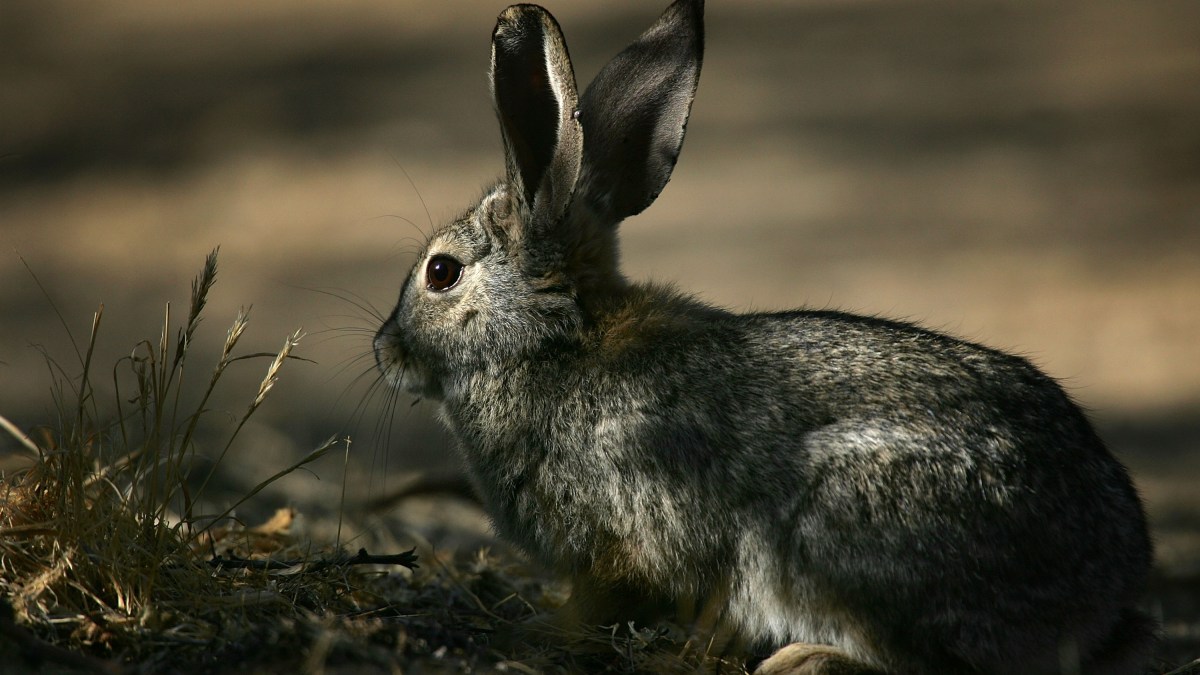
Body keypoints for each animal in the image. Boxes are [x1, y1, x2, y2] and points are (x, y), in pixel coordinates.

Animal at [372, 1, 1156, 673]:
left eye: (440, 272)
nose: (385, 350)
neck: (552, 339)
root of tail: (1104, 596)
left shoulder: (619, 548)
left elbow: (599, 601)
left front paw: (534, 631)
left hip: (833, 529)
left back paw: (800, 659)